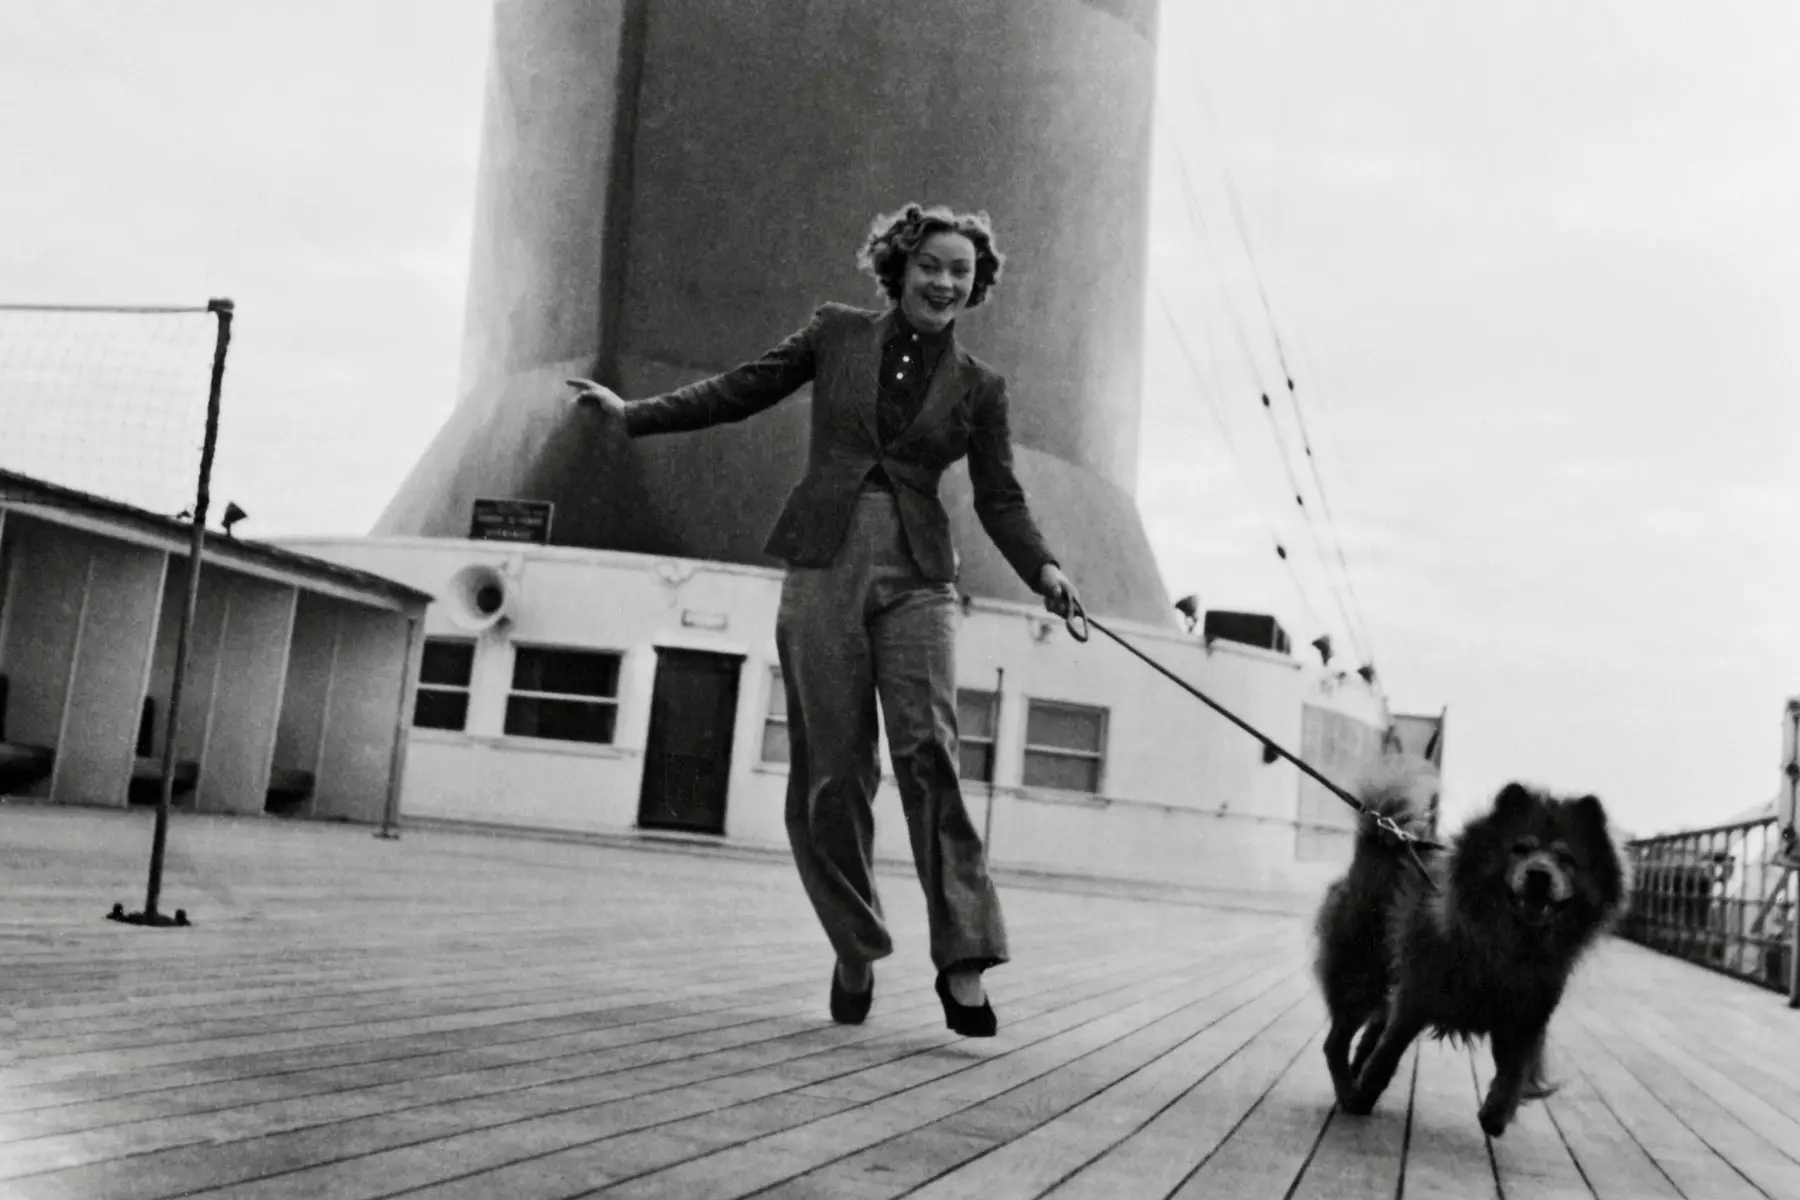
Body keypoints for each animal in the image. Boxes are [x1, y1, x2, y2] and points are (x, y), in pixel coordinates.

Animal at [1317, 773, 1627, 1144]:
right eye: (1520, 849)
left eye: (1565, 858)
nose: (1539, 874)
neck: (1512, 944)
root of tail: (1382, 842)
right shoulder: (1414, 1000)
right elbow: (1387, 1056)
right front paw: (1364, 1096)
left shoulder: (1525, 1019)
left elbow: (1514, 1071)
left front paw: (1496, 1115)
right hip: (1361, 979)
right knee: (1336, 1044)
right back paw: (1349, 1092)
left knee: (1363, 1039)